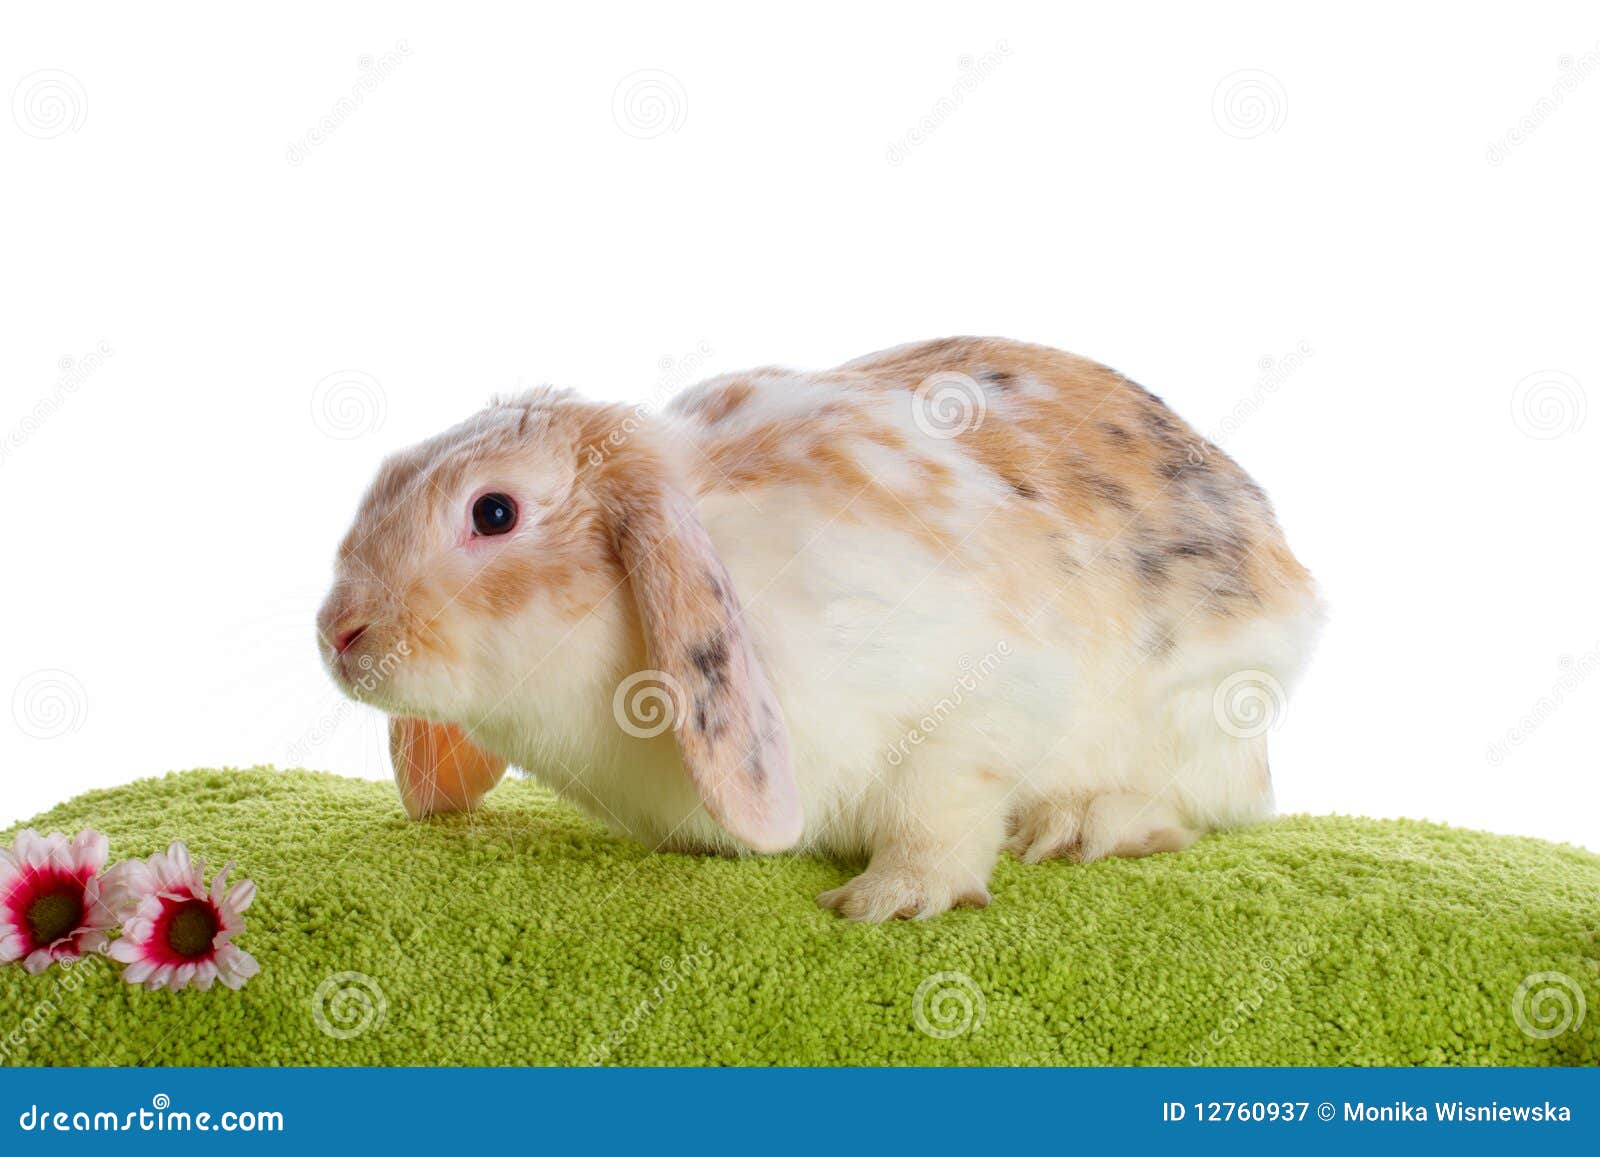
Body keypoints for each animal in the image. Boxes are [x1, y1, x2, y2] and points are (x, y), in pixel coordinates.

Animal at [316, 337, 1322, 921]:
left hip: (1203, 702)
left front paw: (887, 900)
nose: (338, 632)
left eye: (493, 512)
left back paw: (1082, 825)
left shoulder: (973, 700)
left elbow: (941, 811)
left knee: (1205, 806)